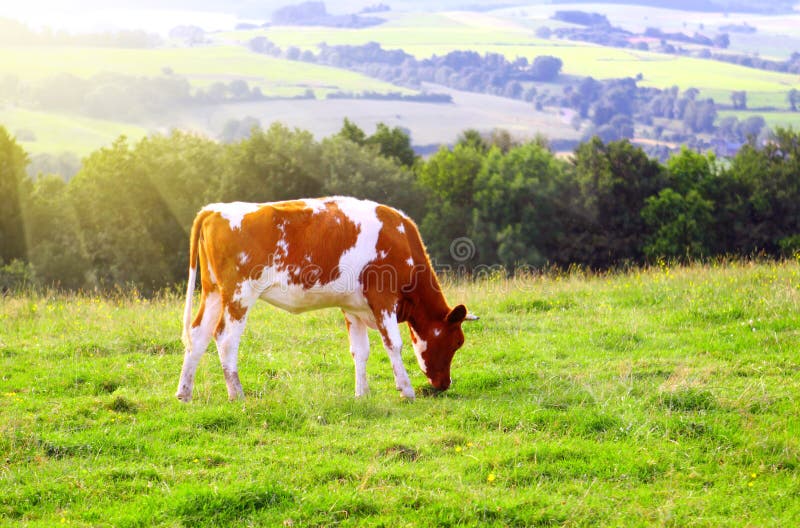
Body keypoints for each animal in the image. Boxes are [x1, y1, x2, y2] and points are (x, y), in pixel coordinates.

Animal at [176, 196, 477, 402]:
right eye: (456, 342)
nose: (444, 384)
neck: (401, 238)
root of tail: (214, 209)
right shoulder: (383, 299)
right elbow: (394, 344)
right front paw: (406, 390)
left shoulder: (353, 307)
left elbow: (360, 351)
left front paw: (361, 393)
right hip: (240, 294)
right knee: (225, 338)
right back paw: (237, 393)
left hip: (214, 292)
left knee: (198, 334)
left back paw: (185, 393)